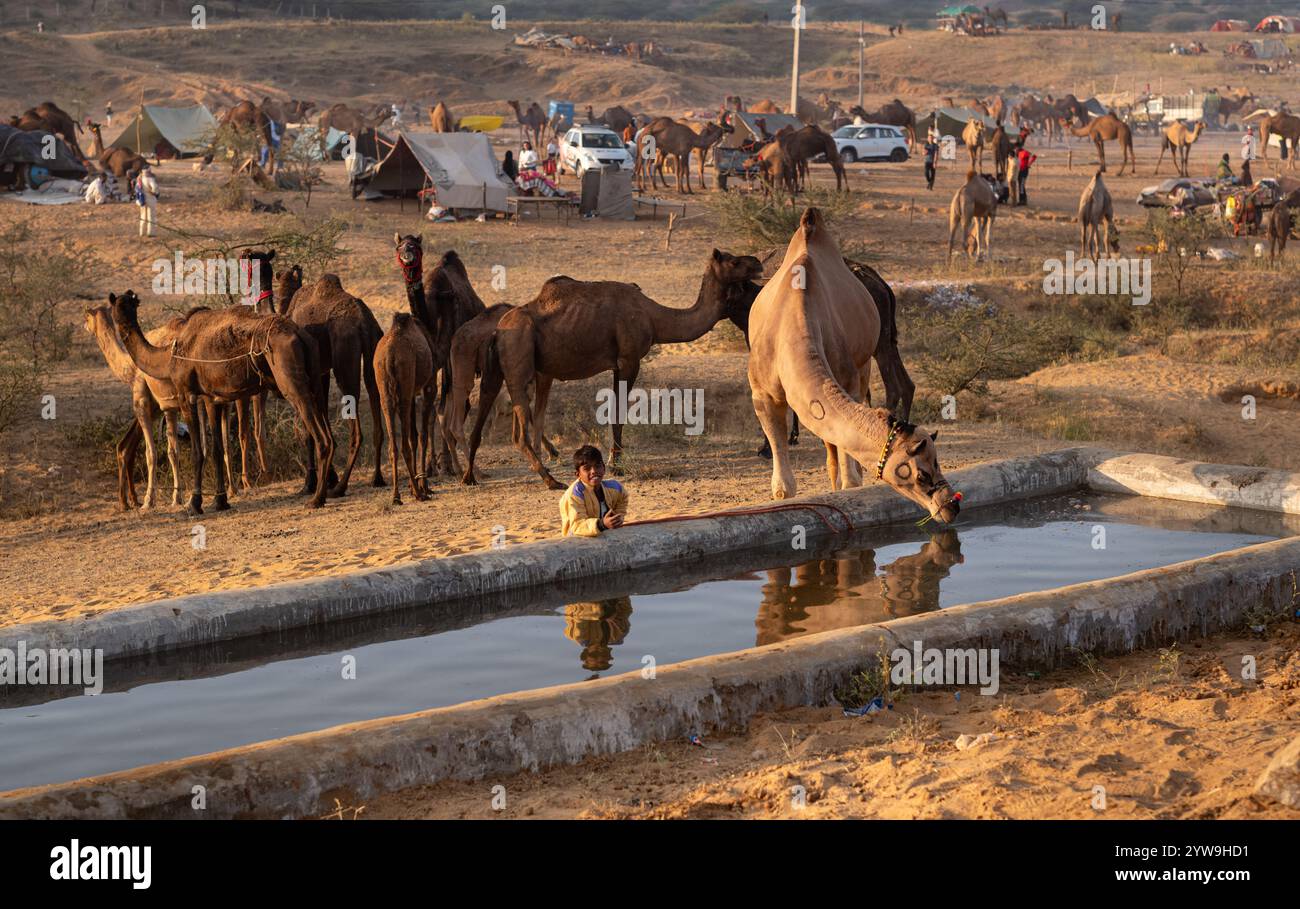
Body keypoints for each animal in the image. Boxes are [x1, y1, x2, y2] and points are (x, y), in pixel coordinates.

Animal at [110, 291, 335, 513]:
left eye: (126, 304)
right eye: (120, 305)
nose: (123, 321)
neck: (169, 356)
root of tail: (299, 334)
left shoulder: (186, 395)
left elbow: (197, 451)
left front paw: (195, 503)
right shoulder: (213, 398)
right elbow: (217, 449)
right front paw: (220, 501)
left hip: (292, 383)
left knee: (321, 437)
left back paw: (317, 498)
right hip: (315, 376)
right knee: (328, 431)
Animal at [280, 273, 385, 497]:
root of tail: (364, 321)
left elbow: (308, 430)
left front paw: (311, 483)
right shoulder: (321, 370)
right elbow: (323, 410)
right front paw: (327, 476)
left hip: (344, 352)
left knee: (356, 425)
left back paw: (340, 486)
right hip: (374, 345)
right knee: (374, 396)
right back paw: (377, 478)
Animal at [374, 312, 437, 504]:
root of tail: (389, 357)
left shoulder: (412, 391)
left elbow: (414, 436)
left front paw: (412, 485)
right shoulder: (429, 387)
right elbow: (422, 436)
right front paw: (424, 486)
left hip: (385, 392)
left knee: (393, 445)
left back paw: (396, 495)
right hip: (405, 386)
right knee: (404, 445)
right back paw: (418, 493)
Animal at [464, 250, 765, 488]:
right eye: (735, 261)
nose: (758, 262)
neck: (654, 318)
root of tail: (498, 330)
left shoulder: (619, 363)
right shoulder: (629, 359)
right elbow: (619, 412)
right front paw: (616, 464)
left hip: (503, 368)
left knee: (494, 409)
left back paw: (471, 476)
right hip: (519, 359)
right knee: (518, 431)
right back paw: (550, 480)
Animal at [747, 208, 960, 523]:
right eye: (921, 473)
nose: (951, 505)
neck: (792, 328)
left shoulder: (845, 376)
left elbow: (851, 477)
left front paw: (850, 482)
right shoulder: (762, 393)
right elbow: (784, 488)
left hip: (865, 362)